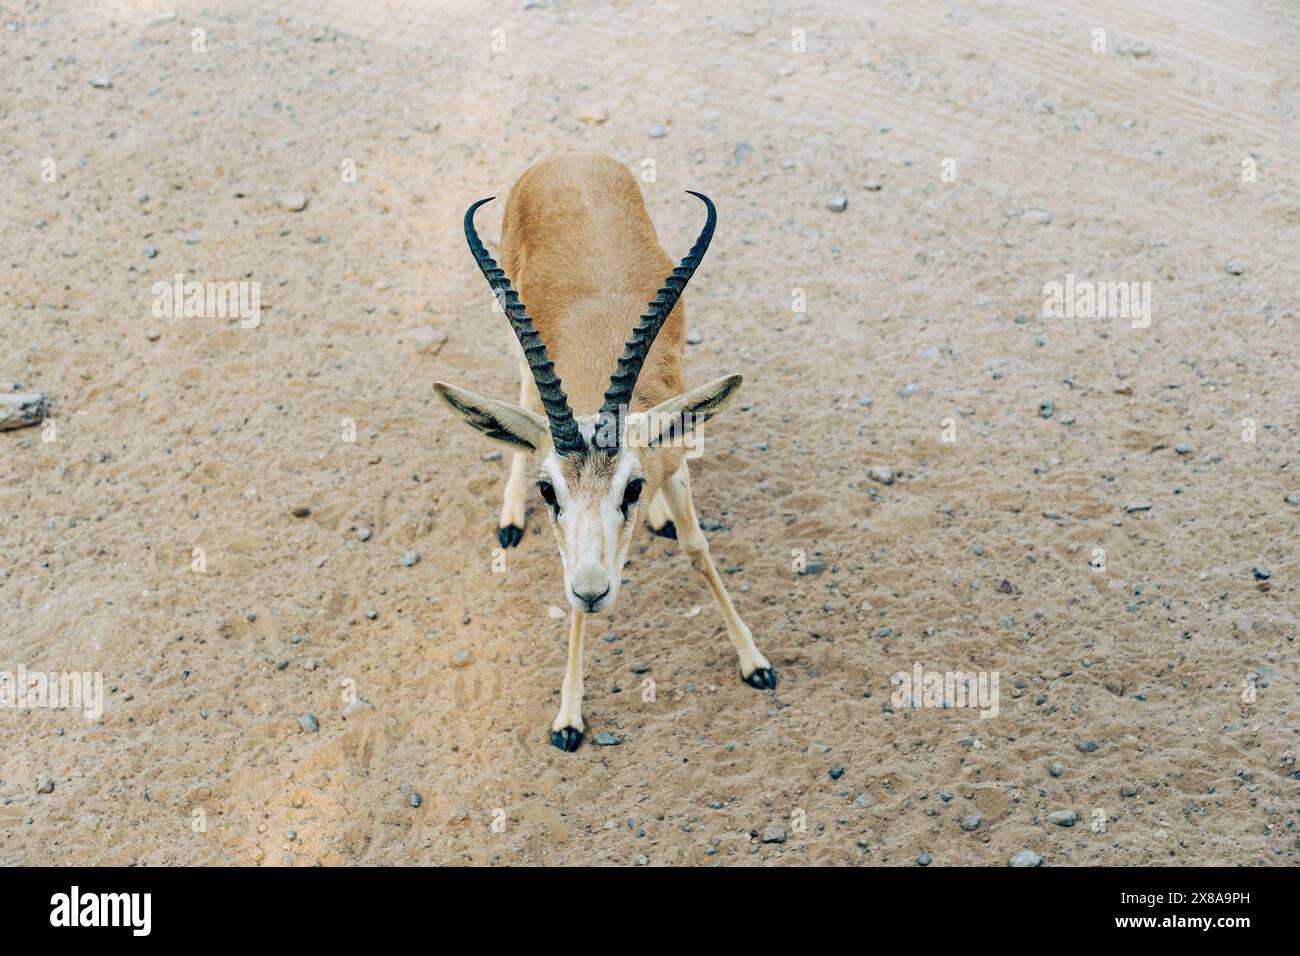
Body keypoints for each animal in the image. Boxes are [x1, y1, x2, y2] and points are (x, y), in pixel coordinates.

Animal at [433, 154, 775, 752]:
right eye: (548, 491)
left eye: (631, 487)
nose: (594, 591)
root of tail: (567, 157)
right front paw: (568, 717)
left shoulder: (673, 460)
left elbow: (696, 548)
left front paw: (754, 662)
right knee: (522, 397)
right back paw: (509, 520)